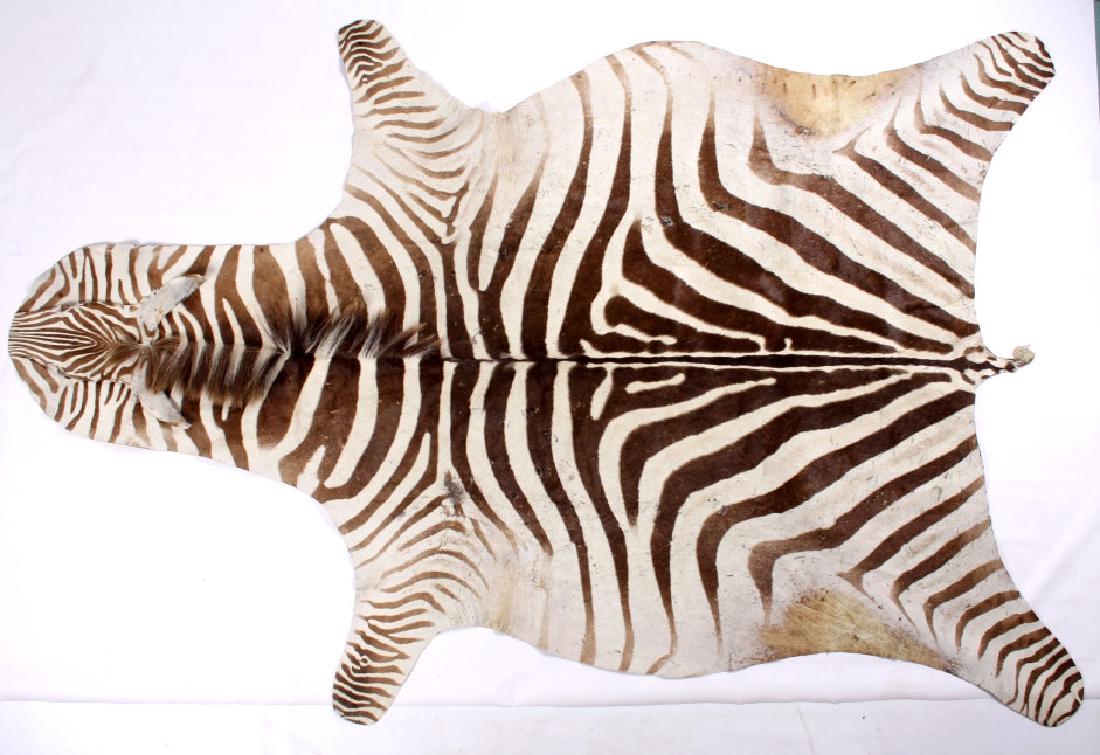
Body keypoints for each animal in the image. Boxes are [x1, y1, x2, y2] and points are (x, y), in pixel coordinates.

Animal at [7, 19, 1081, 726]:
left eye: (76, 285)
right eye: (62, 315)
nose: (14, 329)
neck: (287, 348)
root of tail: (949, 344)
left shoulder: (412, 552)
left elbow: (358, 689)